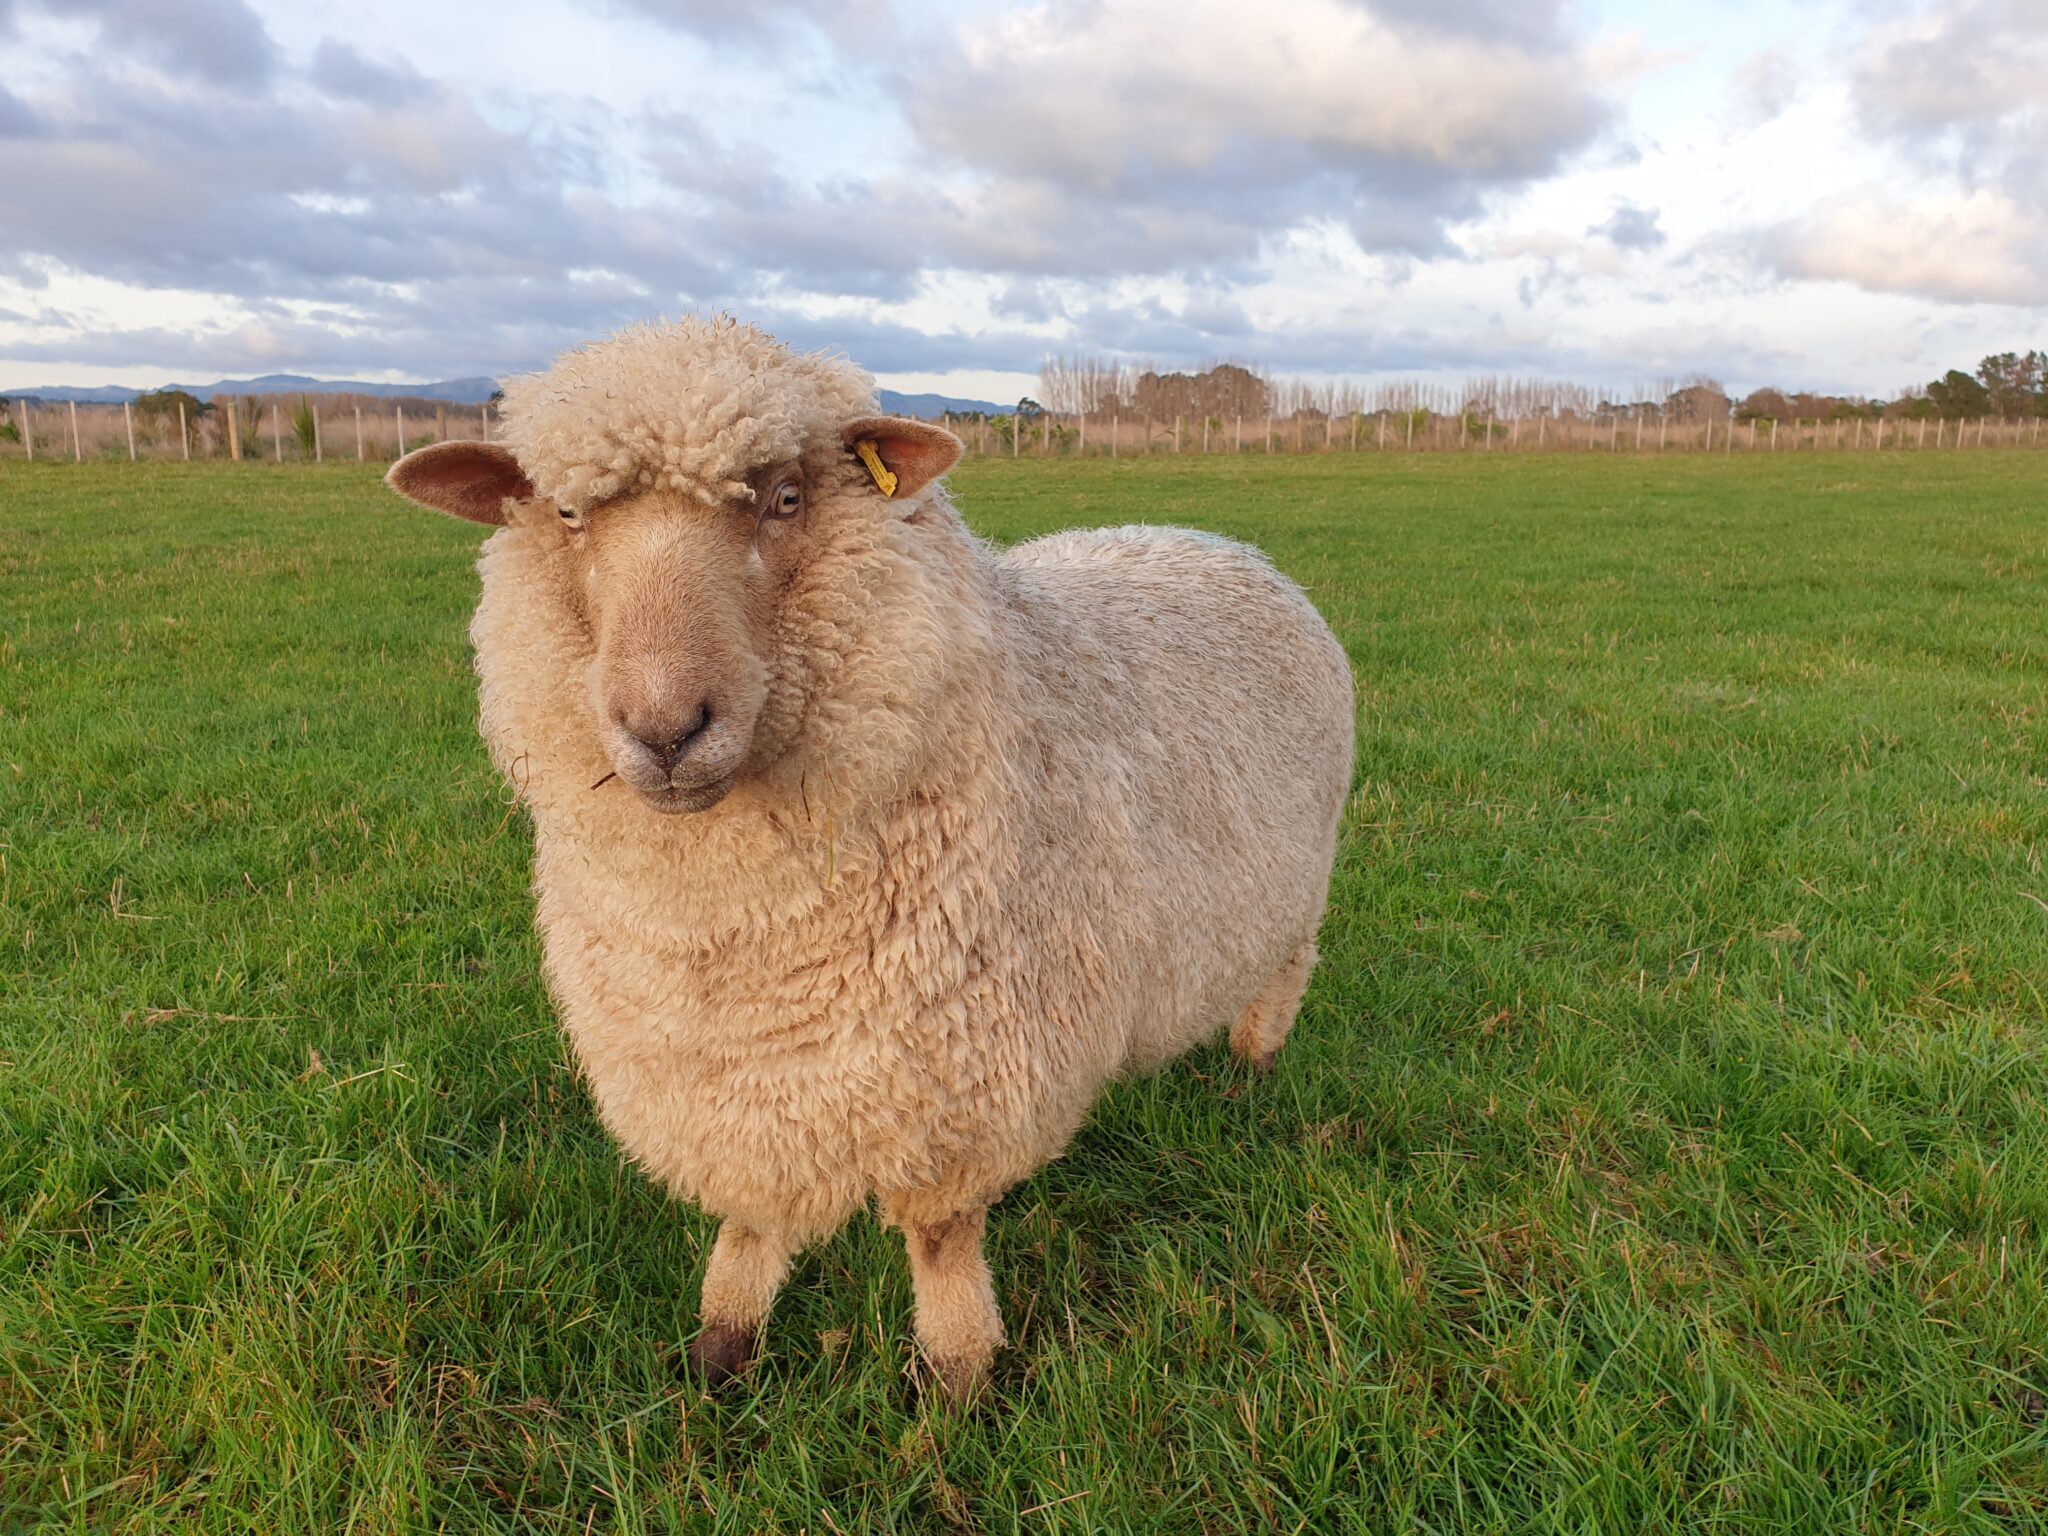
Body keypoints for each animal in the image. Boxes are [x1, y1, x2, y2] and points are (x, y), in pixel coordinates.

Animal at [384, 316, 1355, 1401]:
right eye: (564, 512)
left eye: (785, 497)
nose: (664, 729)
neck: (741, 929)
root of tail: (1215, 540)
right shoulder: (729, 1084)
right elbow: (752, 1218)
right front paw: (722, 1344)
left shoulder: (962, 1077)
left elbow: (940, 1239)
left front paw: (959, 1375)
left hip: (1297, 891)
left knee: (1283, 977)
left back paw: (1248, 1070)